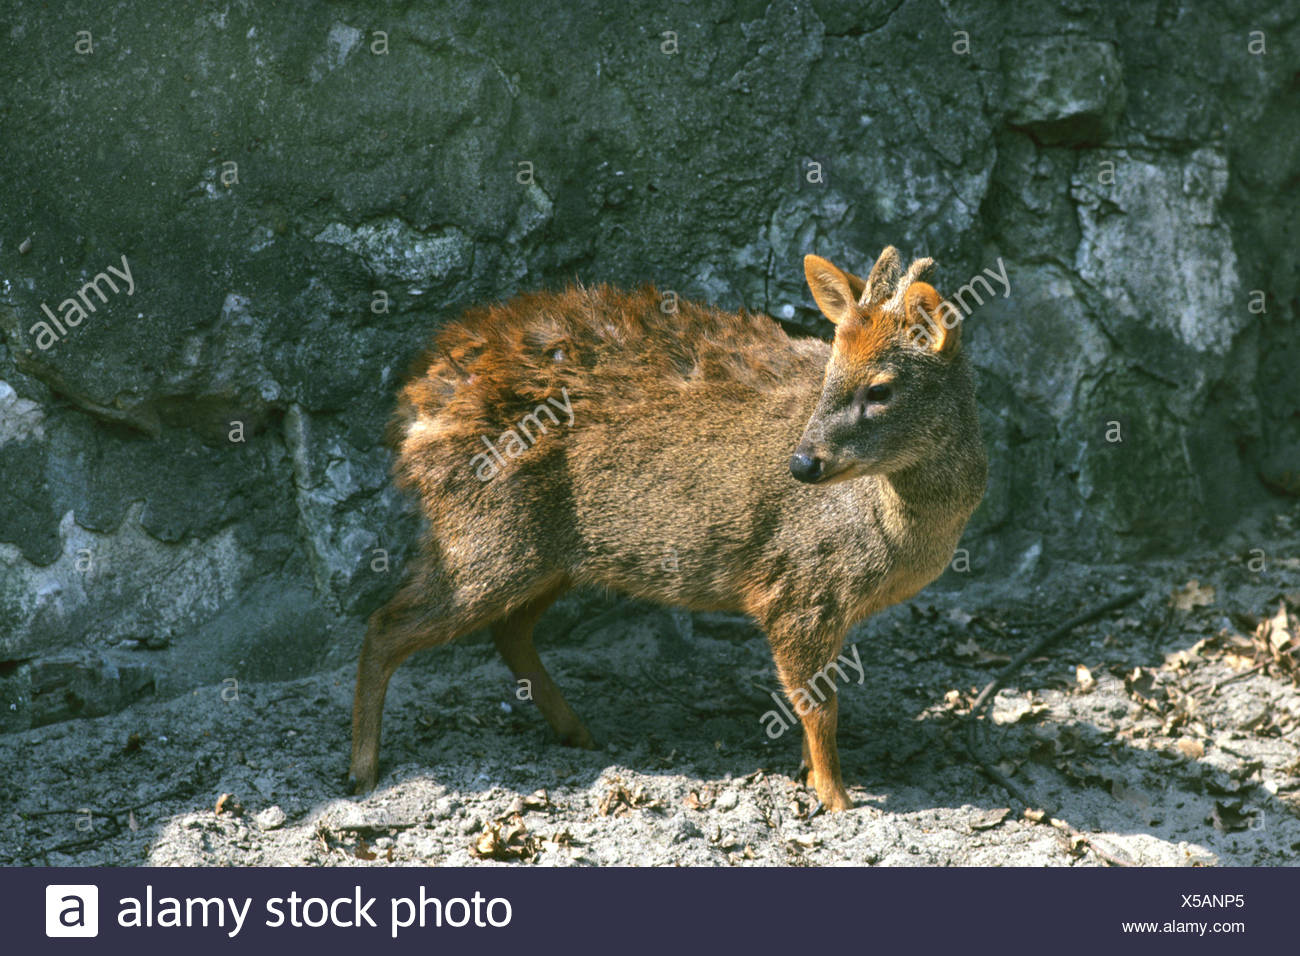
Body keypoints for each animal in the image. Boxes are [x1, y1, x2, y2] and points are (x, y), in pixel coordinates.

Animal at [348, 246, 987, 811]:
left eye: (880, 389)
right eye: (830, 372)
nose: (803, 464)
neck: (898, 533)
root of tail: (414, 401)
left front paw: (810, 778)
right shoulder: (796, 585)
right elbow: (817, 707)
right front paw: (837, 799)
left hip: (547, 556)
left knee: (507, 631)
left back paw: (578, 732)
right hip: (485, 537)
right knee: (386, 625)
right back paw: (362, 771)